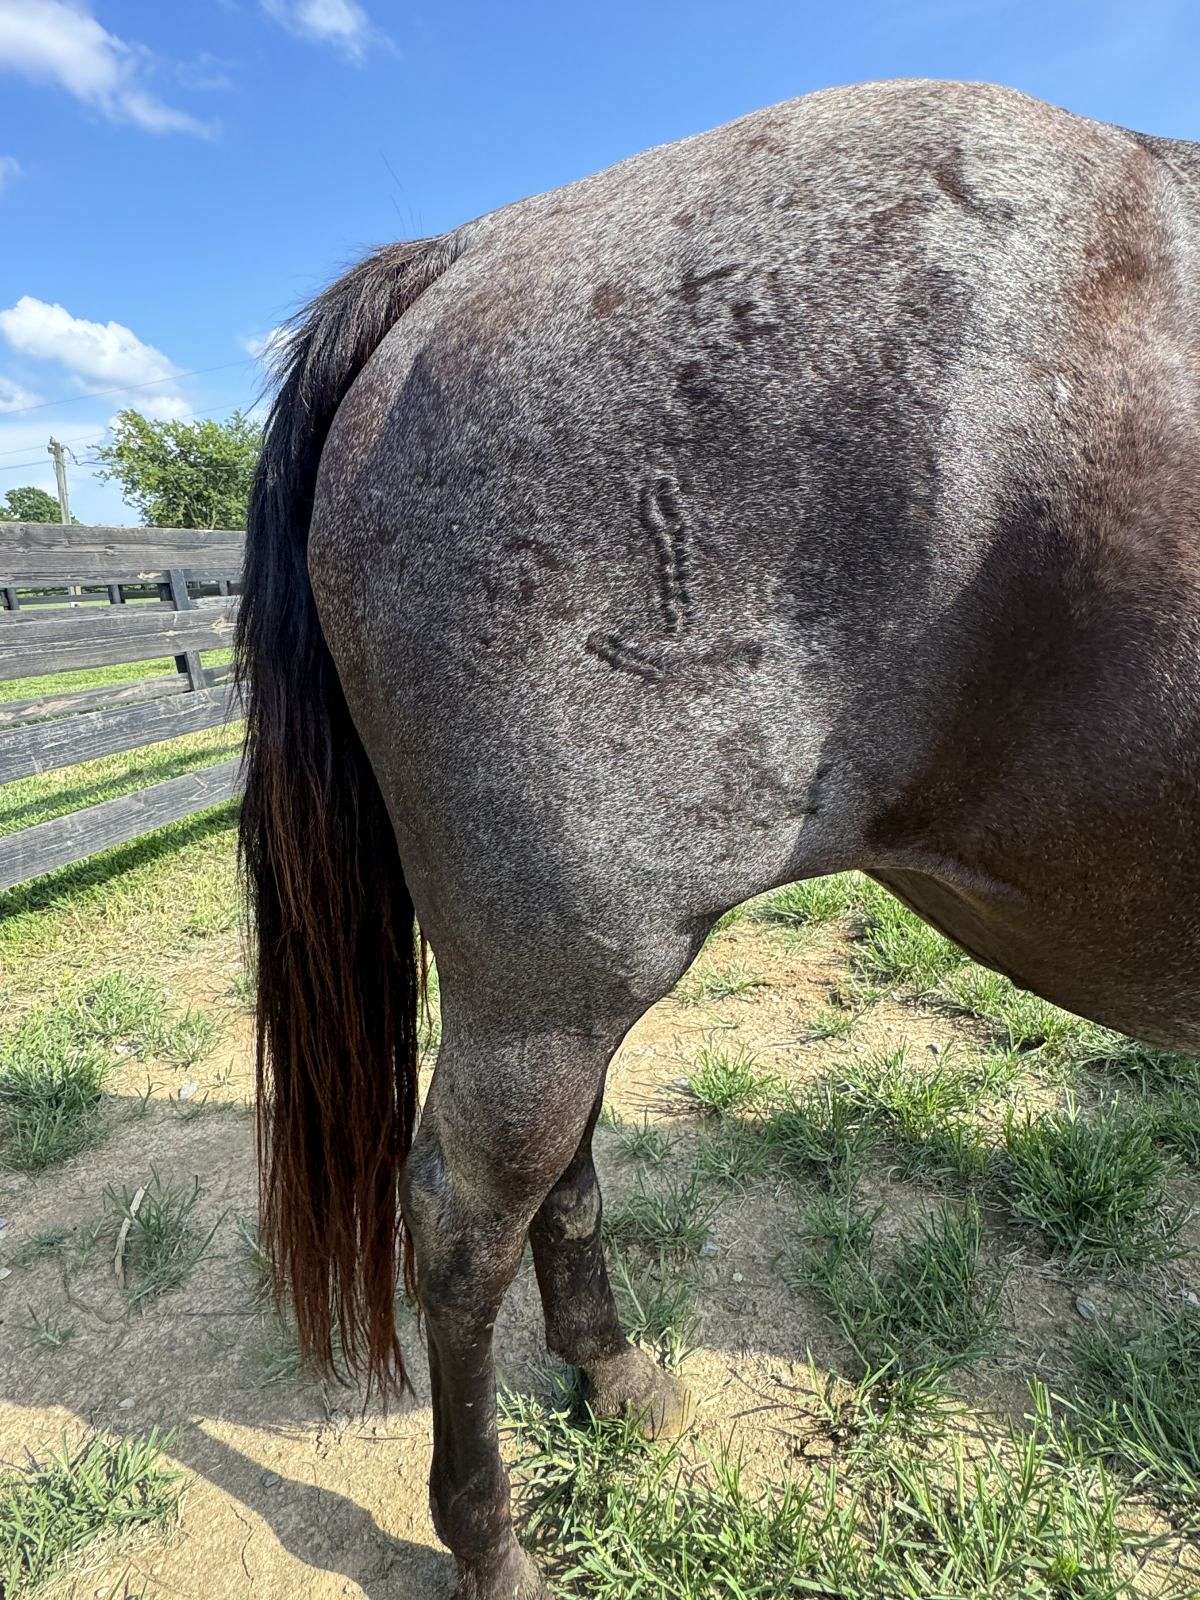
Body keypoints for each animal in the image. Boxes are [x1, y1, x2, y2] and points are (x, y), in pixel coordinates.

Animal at [235, 78, 1200, 1599]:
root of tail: (464, 252)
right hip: (558, 971)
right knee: (463, 1217)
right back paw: (490, 1542)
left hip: (559, 973)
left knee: (554, 1171)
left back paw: (615, 1378)